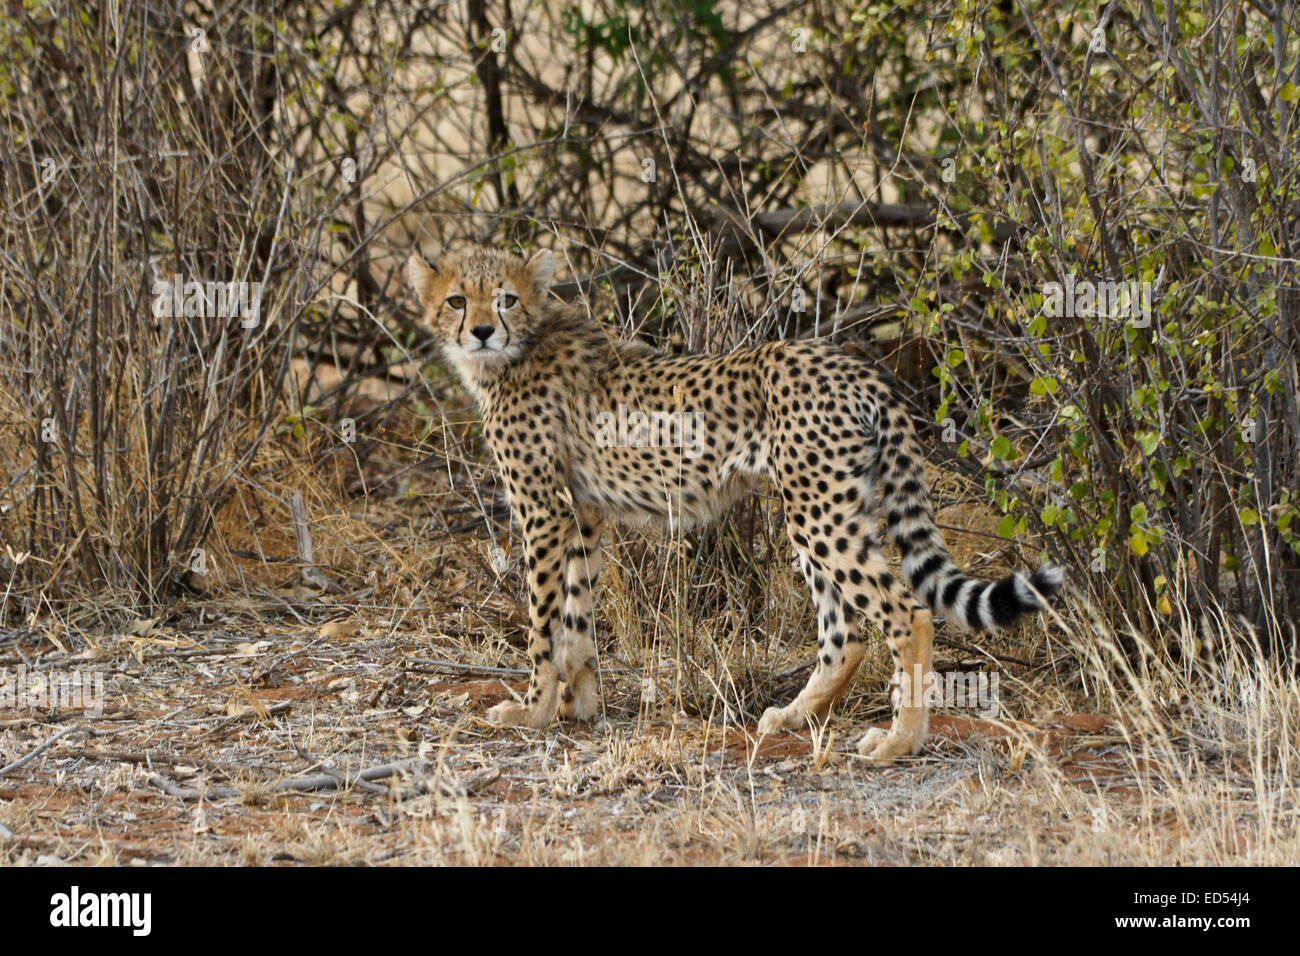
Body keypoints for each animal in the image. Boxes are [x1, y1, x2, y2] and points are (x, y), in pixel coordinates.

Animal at [407, 243, 1062, 761]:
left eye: (506, 299)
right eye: (457, 301)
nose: (483, 331)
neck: (517, 350)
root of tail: (853, 362)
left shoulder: (543, 510)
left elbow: (544, 620)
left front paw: (533, 709)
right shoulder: (585, 512)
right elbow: (577, 615)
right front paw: (579, 705)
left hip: (818, 510)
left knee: (908, 612)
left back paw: (900, 741)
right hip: (822, 508)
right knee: (845, 634)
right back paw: (793, 717)